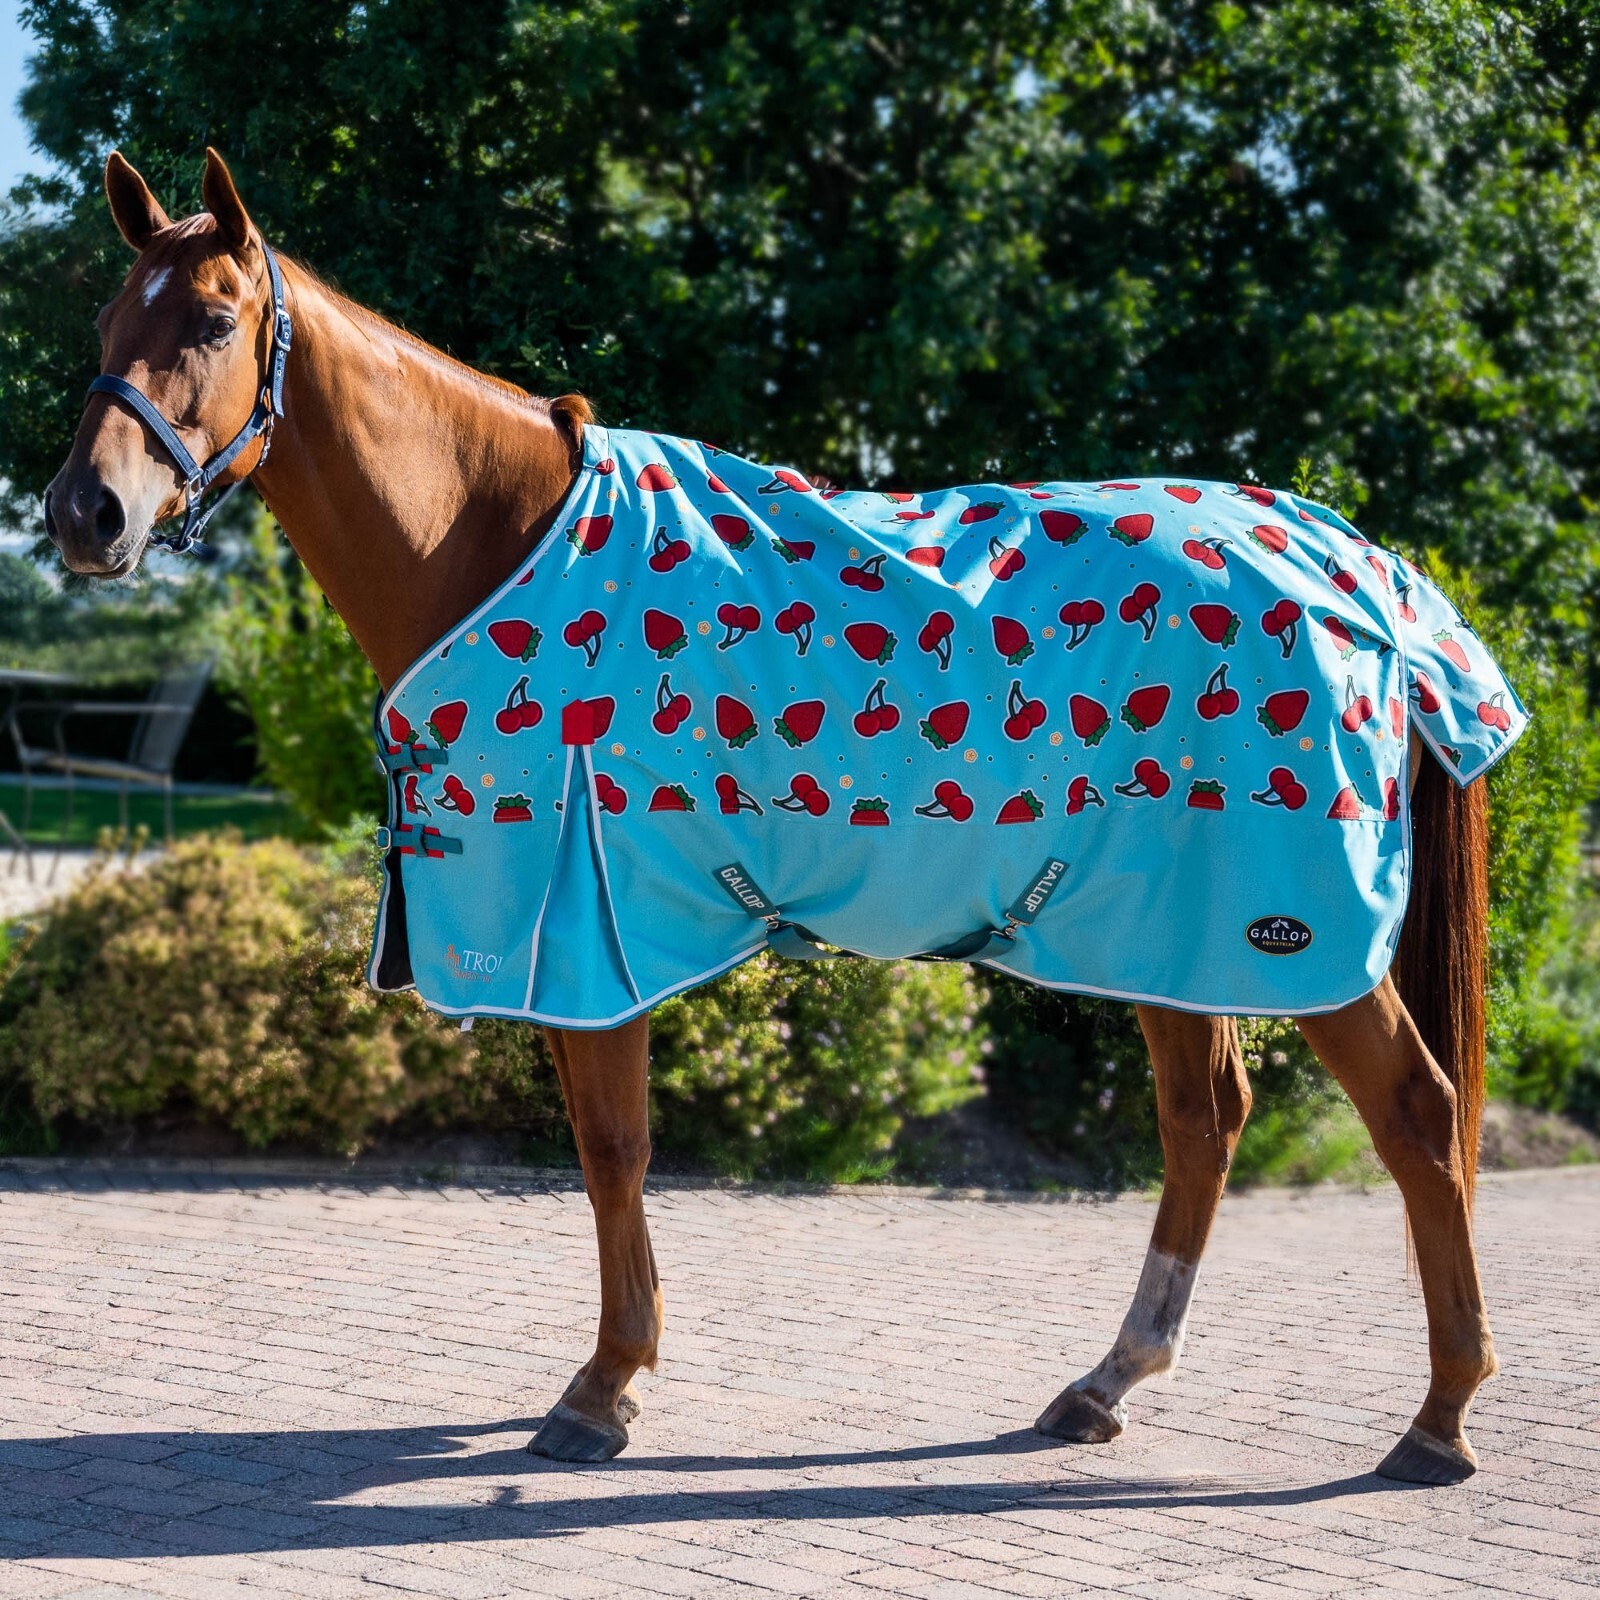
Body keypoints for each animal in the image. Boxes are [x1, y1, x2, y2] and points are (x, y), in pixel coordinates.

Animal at [44, 149, 1497, 1483]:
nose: (82, 513)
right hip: (1165, 932)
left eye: (214, 320)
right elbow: (614, 1153)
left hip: (1288, 931)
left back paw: (1438, 1420)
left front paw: (602, 1388)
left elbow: (614, 1148)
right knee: (1207, 1120)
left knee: (1417, 1118)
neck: (498, 540)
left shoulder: (591, 935)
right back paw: (1106, 1384)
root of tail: (1357, 564)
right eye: (107, 320)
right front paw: (616, 1373)